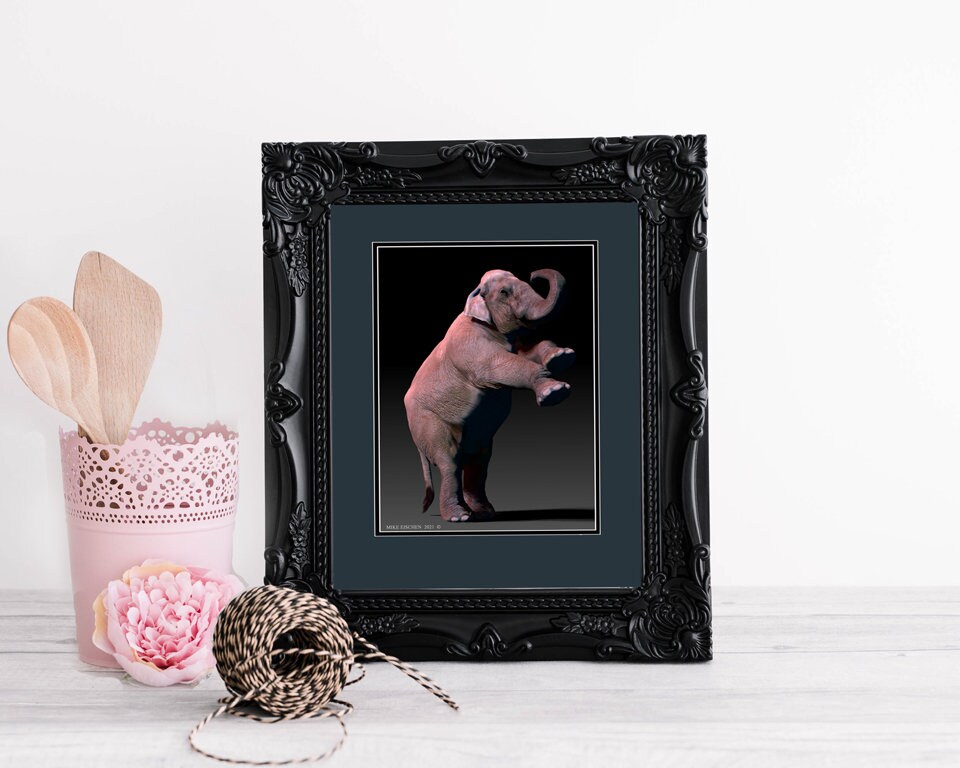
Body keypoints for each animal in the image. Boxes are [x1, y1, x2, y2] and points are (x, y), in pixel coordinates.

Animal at [403, 268, 575, 523]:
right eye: (504, 292)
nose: (535, 274)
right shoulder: (471, 344)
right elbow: (501, 365)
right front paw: (555, 392)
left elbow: (526, 352)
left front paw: (562, 356)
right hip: (428, 423)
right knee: (449, 461)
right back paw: (460, 517)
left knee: (478, 461)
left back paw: (485, 514)